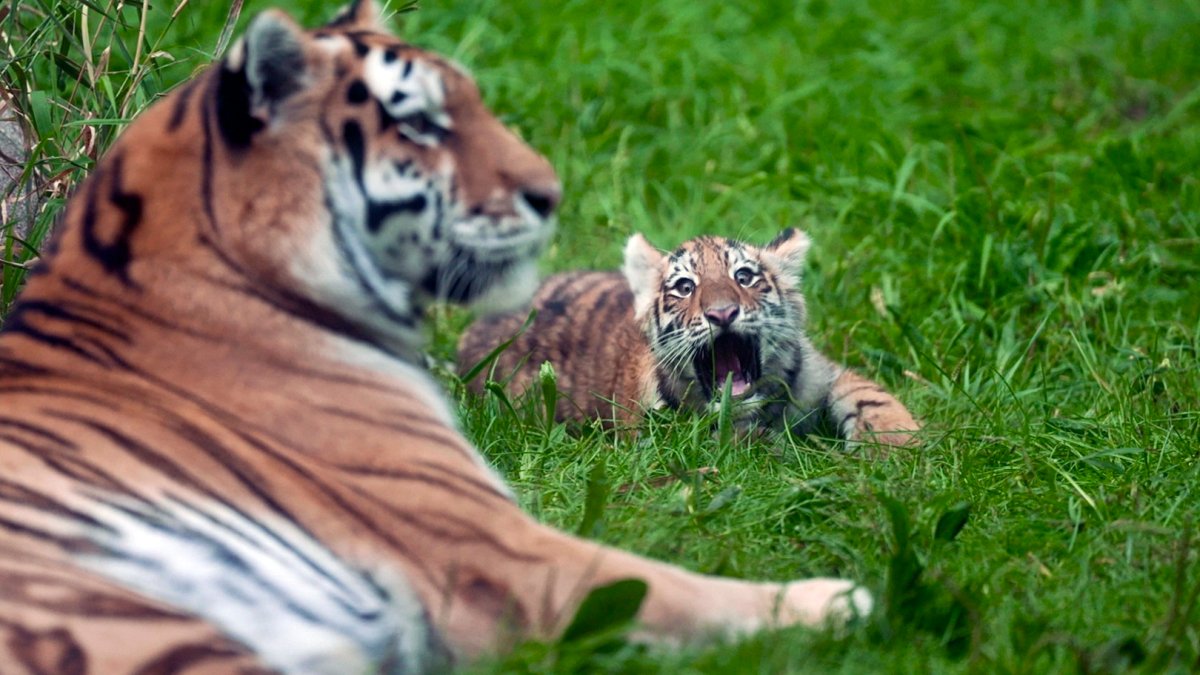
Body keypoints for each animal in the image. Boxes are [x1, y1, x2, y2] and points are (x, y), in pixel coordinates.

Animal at [0, 2, 869, 673]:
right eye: (419, 122)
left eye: (748, 279)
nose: (551, 192)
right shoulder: (489, 542)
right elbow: (674, 583)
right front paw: (840, 598)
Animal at [459, 230, 921, 446]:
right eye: (684, 287)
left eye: (744, 277)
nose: (722, 313)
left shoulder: (822, 371)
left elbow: (871, 396)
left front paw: (895, 448)